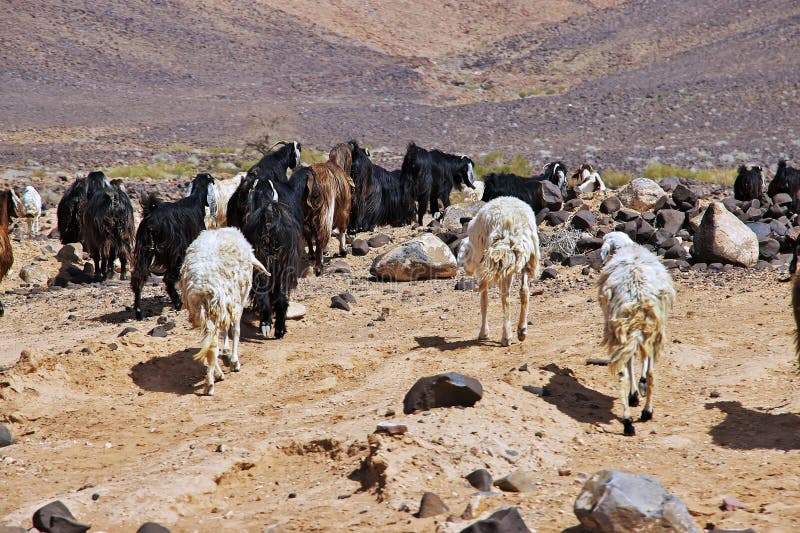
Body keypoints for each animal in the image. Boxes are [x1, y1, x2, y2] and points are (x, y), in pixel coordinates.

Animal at [131, 173, 217, 320]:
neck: (195, 200)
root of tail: (151, 217)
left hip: (144, 251)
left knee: (138, 278)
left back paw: (138, 312)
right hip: (175, 251)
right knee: (168, 278)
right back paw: (177, 303)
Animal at [179, 227, 268, 396]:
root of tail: (202, 287)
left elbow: (225, 330)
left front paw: (226, 350)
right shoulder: (238, 301)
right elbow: (236, 330)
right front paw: (234, 361)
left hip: (202, 312)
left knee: (209, 343)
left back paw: (216, 375)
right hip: (219, 307)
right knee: (213, 345)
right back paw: (210, 383)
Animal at [457, 196, 541, 347]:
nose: (466, 270)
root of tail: (513, 226)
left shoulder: (483, 270)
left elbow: (484, 301)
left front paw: (484, 332)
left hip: (499, 258)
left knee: (505, 297)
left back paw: (506, 337)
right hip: (526, 257)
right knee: (524, 291)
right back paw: (522, 330)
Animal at [597, 231, 676, 436]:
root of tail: (637, 295)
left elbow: (634, 361)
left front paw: (636, 391)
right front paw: (638, 389)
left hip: (624, 329)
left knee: (627, 374)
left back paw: (630, 420)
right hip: (648, 328)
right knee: (650, 372)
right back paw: (643, 413)